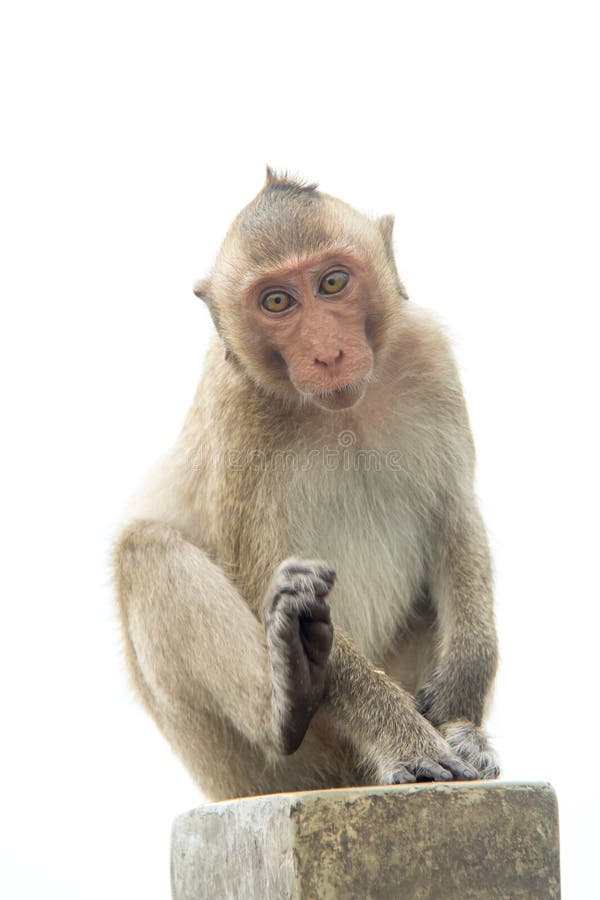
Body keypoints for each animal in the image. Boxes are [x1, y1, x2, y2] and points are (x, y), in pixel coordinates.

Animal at [113, 169, 499, 803]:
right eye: (277, 301)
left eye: (333, 282)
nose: (327, 353)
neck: (344, 410)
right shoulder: (236, 405)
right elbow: (260, 569)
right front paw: (406, 739)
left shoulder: (429, 357)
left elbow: (455, 516)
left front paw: (464, 701)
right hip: (243, 770)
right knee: (143, 550)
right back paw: (290, 692)